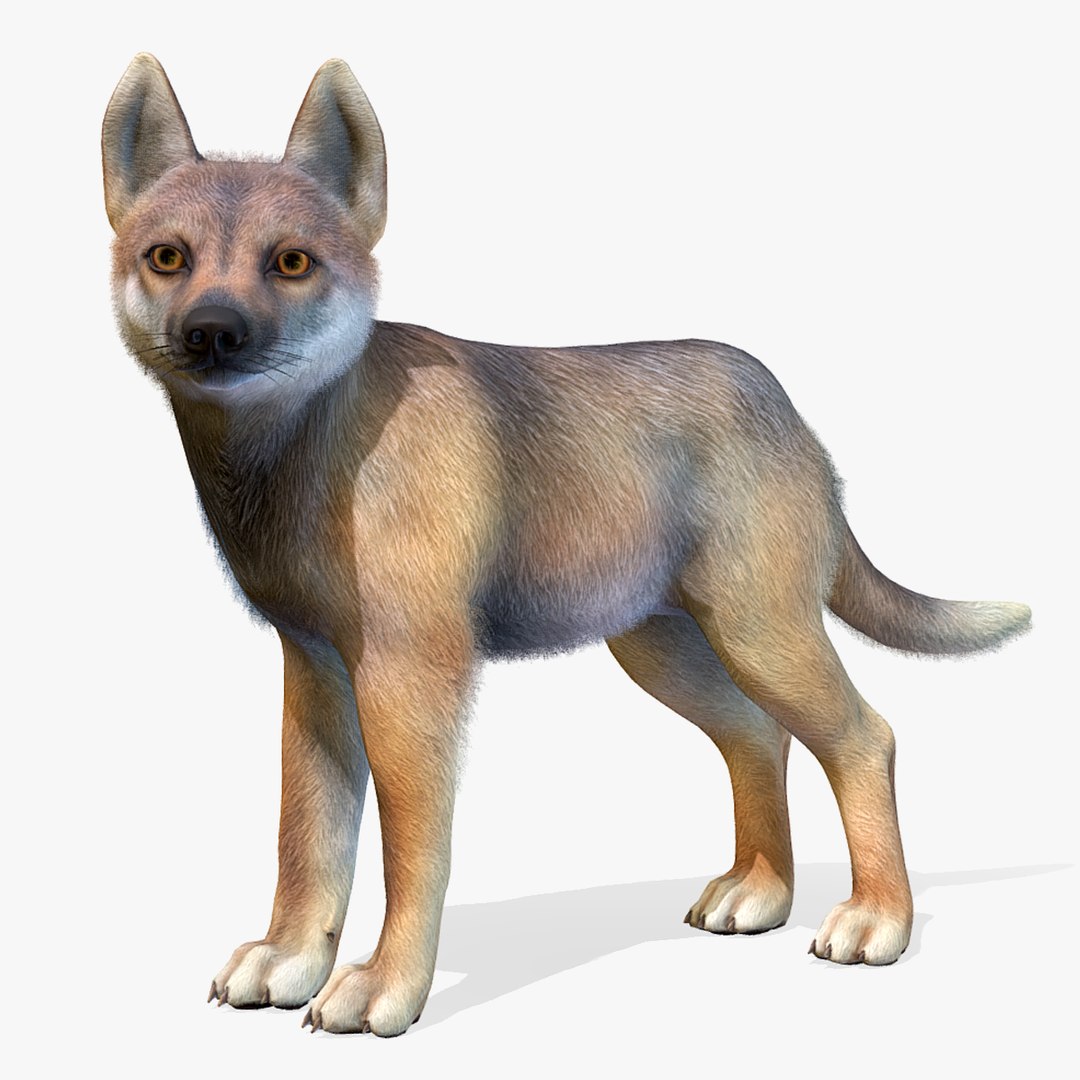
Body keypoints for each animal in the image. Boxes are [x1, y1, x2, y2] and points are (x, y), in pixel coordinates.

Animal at [103, 53, 1030, 1036]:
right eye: (167, 257)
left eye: (291, 262)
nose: (212, 332)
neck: (309, 449)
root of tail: (784, 406)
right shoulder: (314, 667)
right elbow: (307, 837)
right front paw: (288, 959)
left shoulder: (411, 674)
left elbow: (411, 848)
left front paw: (386, 986)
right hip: (663, 644)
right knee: (758, 738)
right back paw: (760, 894)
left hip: (760, 631)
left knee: (863, 738)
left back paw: (876, 918)